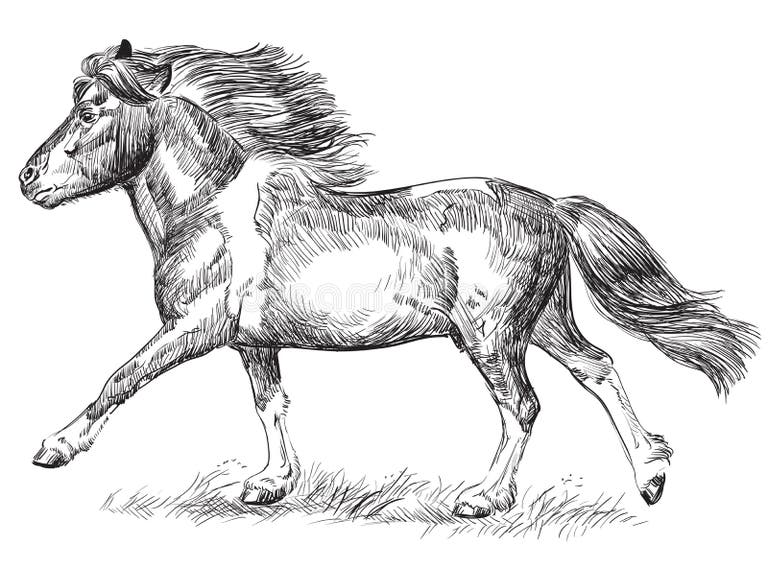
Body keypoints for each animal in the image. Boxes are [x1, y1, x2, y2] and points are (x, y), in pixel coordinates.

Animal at [19, 39, 757, 518]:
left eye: (90, 110)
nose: (26, 179)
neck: (210, 209)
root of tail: (550, 206)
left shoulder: (194, 328)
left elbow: (121, 377)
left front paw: (55, 447)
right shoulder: (253, 341)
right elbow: (270, 404)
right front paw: (270, 484)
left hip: (491, 335)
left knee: (522, 406)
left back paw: (485, 499)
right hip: (543, 322)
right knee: (598, 367)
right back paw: (651, 477)